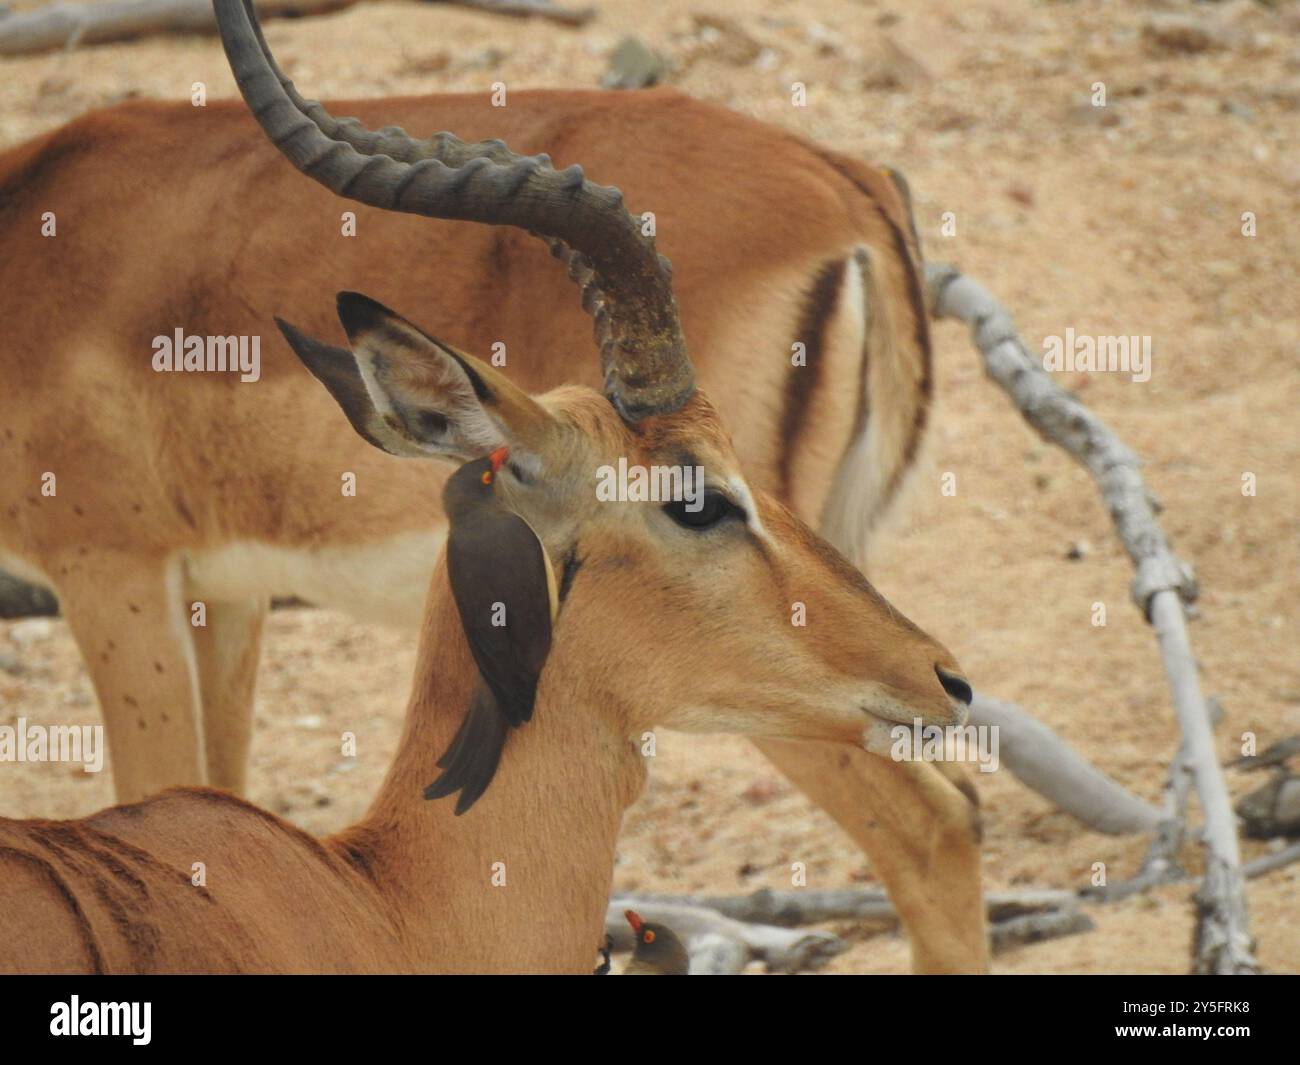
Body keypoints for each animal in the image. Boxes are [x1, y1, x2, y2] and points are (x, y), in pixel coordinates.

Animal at [0, 0, 987, 971]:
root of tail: (851, 183)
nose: (944, 676)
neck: (378, 905)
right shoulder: (168, 582)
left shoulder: (132, 576)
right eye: (697, 499)